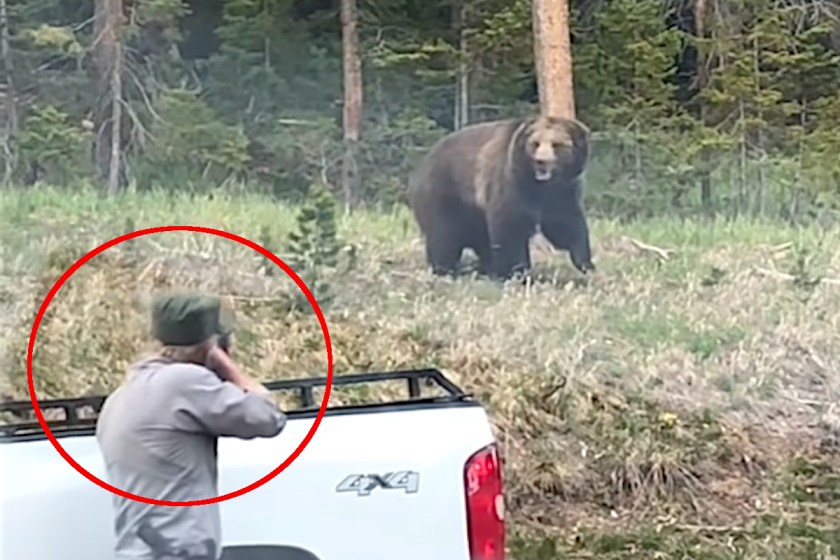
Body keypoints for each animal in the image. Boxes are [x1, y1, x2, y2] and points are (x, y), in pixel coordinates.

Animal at [406, 113, 594, 280]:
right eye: (535, 143)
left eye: (556, 144)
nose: (541, 161)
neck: (540, 186)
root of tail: (424, 162)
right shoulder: (512, 182)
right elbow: (510, 225)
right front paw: (517, 270)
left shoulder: (562, 192)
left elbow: (566, 222)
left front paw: (585, 263)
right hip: (446, 193)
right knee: (444, 235)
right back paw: (445, 269)